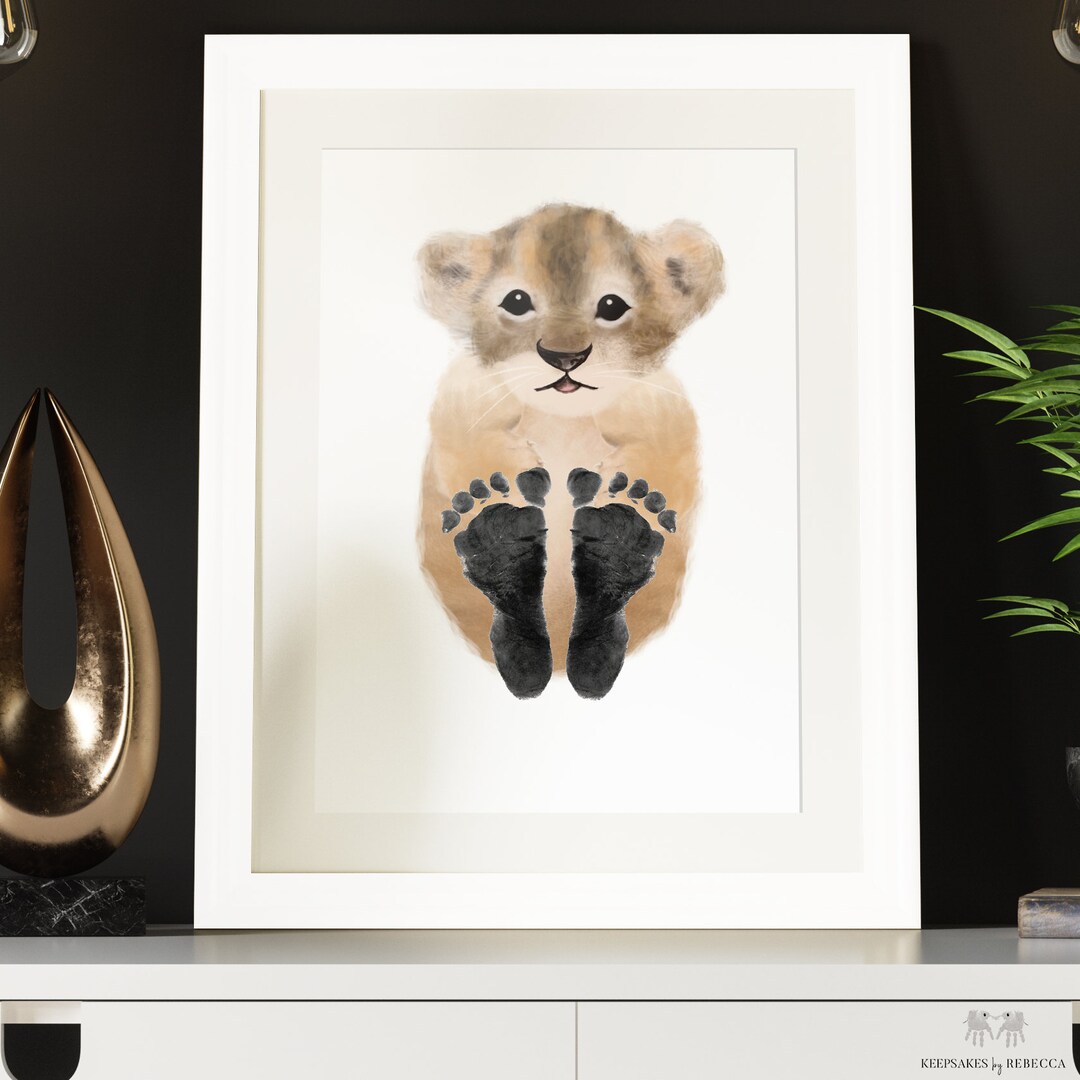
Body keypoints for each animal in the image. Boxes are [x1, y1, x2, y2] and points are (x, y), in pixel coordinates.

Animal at [416, 203, 724, 699]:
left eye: (612, 306)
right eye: (516, 301)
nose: (564, 358)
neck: (562, 421)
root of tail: (559, 670)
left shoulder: (671, 415)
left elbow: (664, 462)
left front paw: (627, 496)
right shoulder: (459, 399)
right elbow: (465, 447)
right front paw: (502, 488)